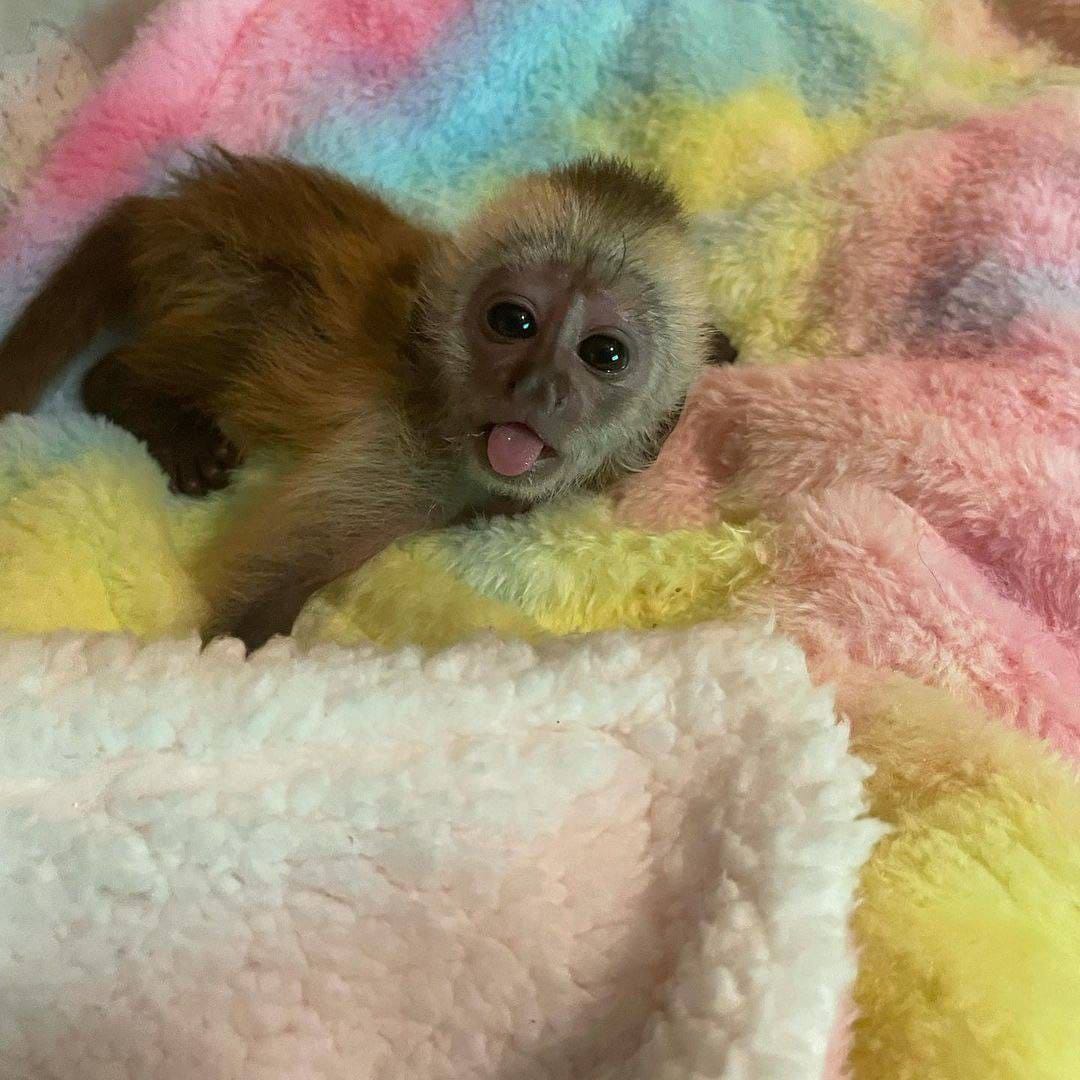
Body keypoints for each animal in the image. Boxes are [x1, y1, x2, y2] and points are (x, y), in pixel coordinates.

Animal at [0, 150, 727, 651]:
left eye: (604, 354)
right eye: (513, 321)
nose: (538, 386)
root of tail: (168, 210)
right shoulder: (406, 456)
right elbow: (266, 578)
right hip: (212, 268)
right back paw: (137, 398)